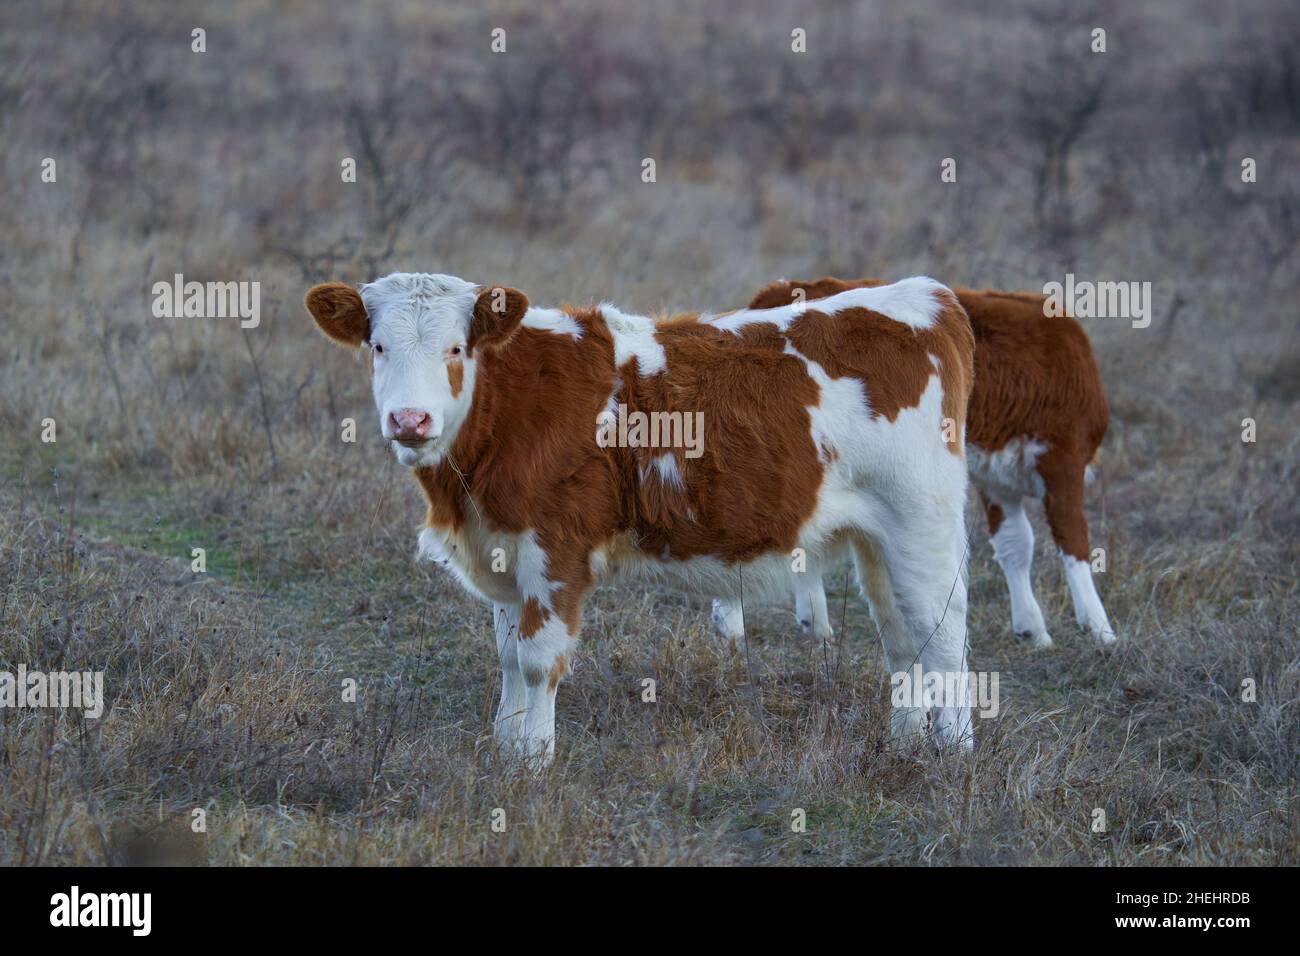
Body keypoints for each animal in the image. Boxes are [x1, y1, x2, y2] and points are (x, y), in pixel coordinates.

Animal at [305, 272, 977, 766]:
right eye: (378, 346)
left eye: (455, 348)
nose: (410, 420)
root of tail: (925, 295)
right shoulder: (504, 548)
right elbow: (507, 656)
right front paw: (506, 744)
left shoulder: (555, 551)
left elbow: (537, 659)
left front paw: (533, 760)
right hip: (877, 541)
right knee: (901, 636)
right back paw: (906, 740)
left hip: (922, 523)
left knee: (943, 634)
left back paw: (954, 751)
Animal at [711, 277, 1115, 649]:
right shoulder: (1064, 457)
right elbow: (1073, 536)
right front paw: (1099, 627)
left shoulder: (999, 478)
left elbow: (1016, 544)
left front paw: (1031, 627)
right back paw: (736, 628)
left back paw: (809, 622)